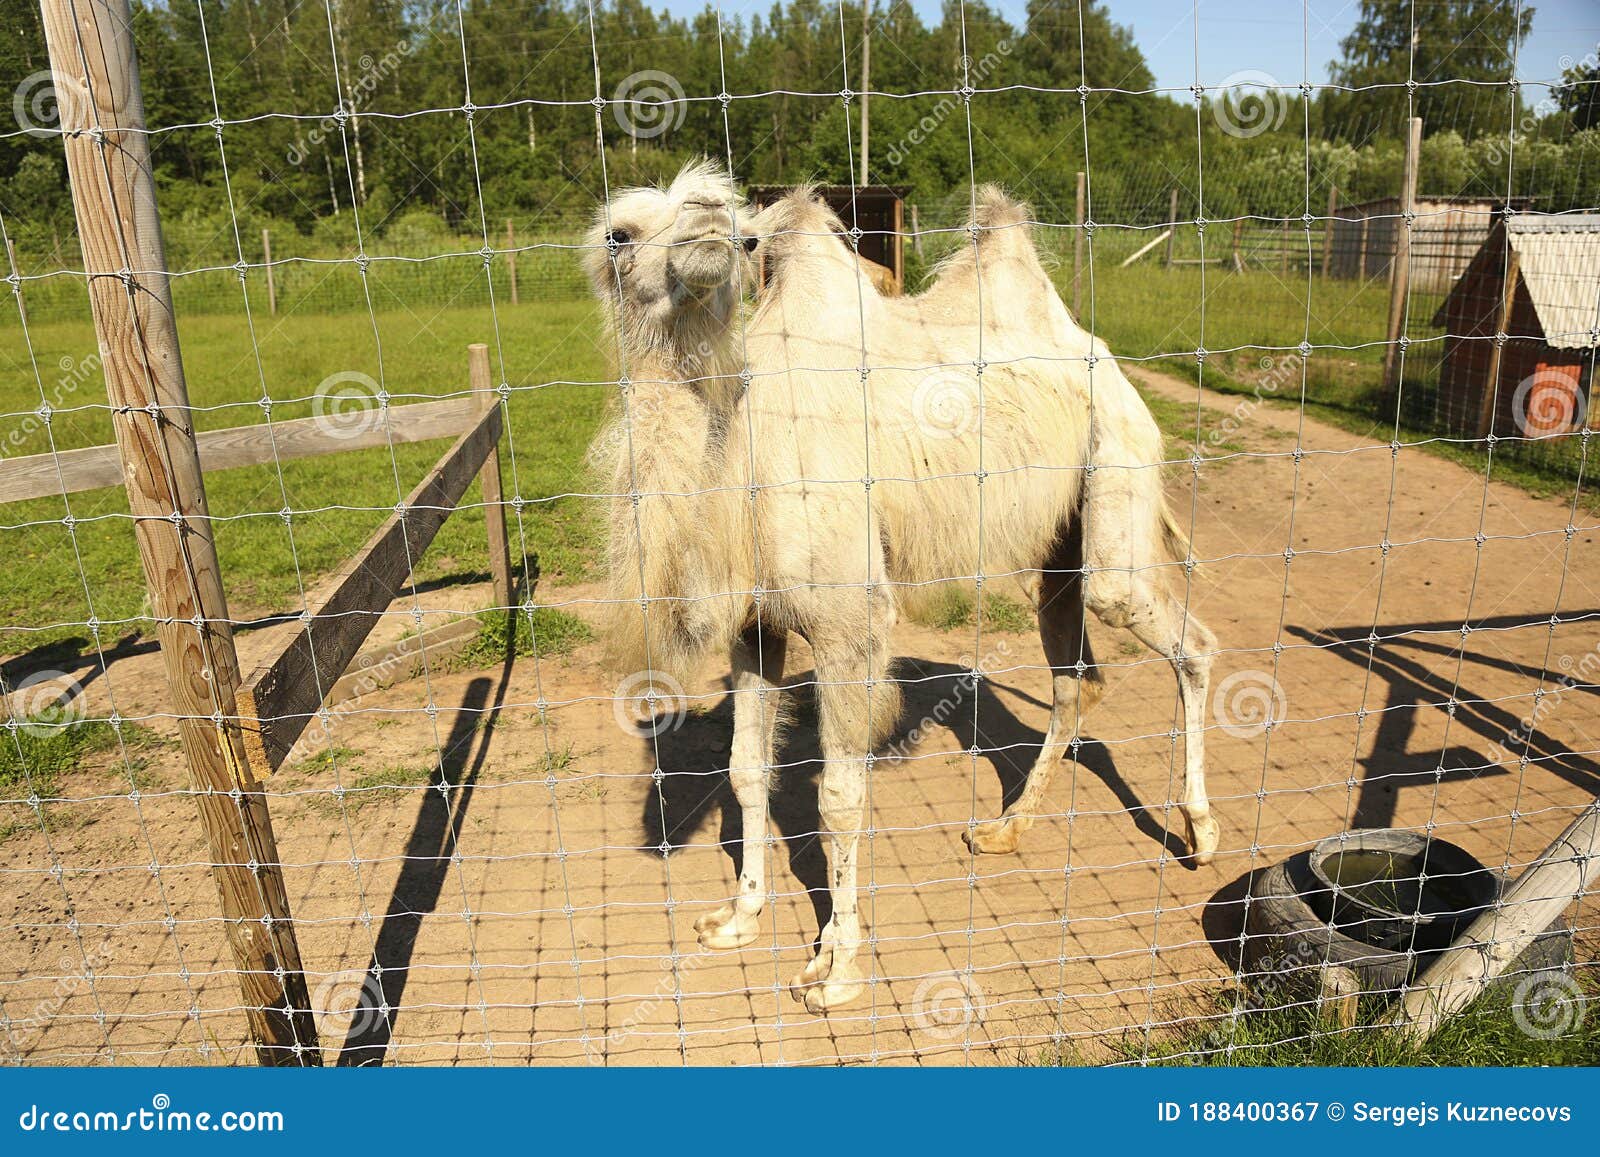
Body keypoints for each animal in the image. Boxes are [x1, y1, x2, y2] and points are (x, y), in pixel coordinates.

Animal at [583, 164, 1219, 1013]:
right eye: (619, 232)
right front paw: (738, 916)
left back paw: (1200, 831)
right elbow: (746, 771)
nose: (713, 224)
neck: (739, 457)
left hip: (1120, 468)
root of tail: (1100, 353)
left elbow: (838, 798)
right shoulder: (756, 627)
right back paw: (1005, 827)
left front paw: (837, 965)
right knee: (1076, 676)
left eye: (739, 230)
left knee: (1187, 640)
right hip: (1058, 546)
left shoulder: (848, 622)